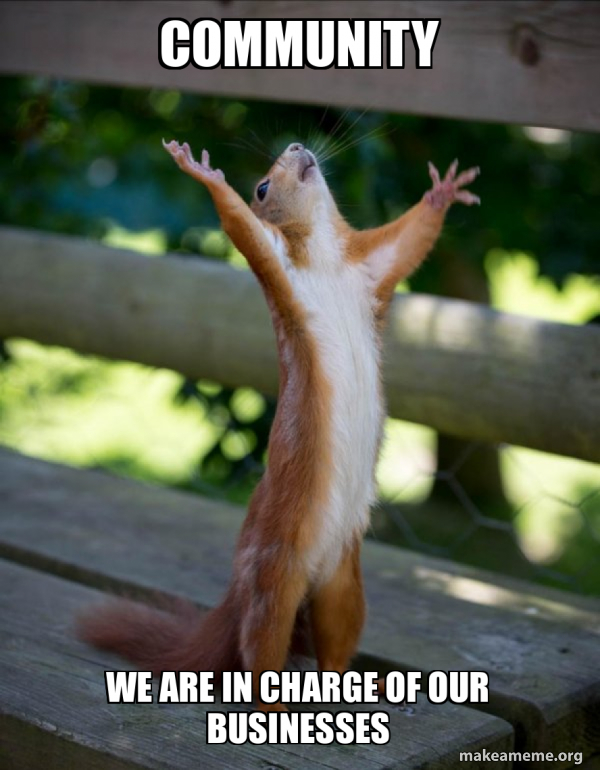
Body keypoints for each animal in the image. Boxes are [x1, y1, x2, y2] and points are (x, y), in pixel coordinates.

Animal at [78, 139, 479, 711]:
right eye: (262, 187)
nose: (296, 146)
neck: (327, 259)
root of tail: (239, 591)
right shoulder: (277, 265)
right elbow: (240, 226)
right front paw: (204, 173)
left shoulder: (372, 267)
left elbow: (410, 240)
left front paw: (443, 191)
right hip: (273, 581)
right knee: (260, 652)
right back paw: (276, 706)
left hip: (344, 586)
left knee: (335, 646)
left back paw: (360, 683)